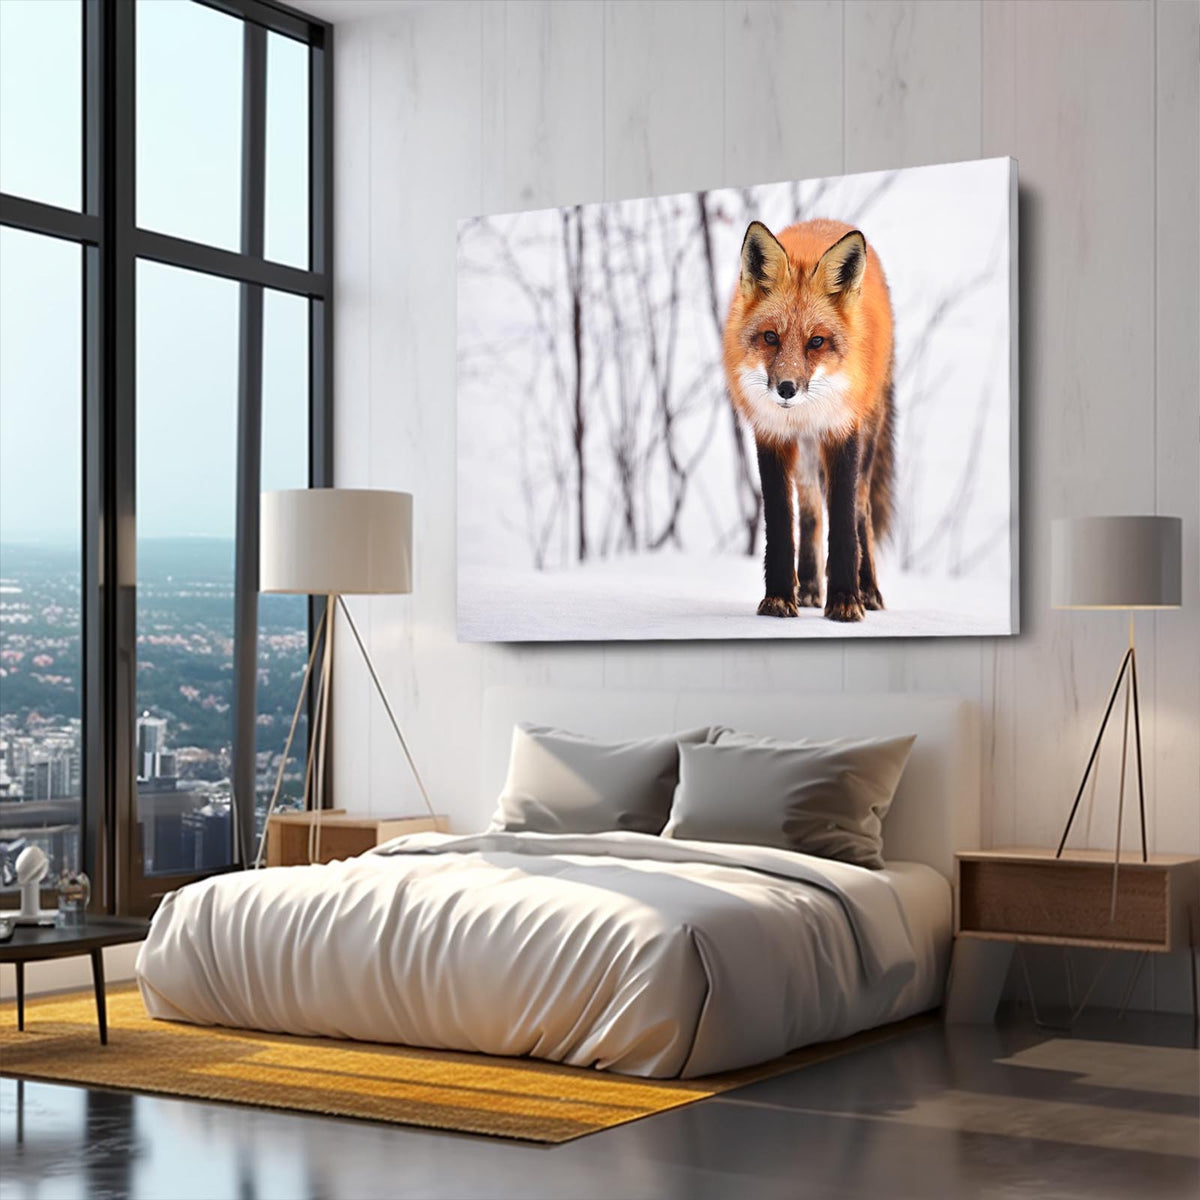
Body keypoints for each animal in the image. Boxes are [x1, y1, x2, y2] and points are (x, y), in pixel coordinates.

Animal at [722, 218, 896, 623]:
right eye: (770, 337)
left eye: (816, 341)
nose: (786, 388)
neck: (803, 413)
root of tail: (829, 221)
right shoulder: (771, 436)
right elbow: (782, 525)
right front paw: (779, 598)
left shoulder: (842, 431)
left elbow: (845, 523)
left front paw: (846, 600)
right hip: (804, 456)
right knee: (811, 510)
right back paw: (811, 587)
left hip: (867, 436)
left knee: (861, 509)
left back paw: (868, 590)